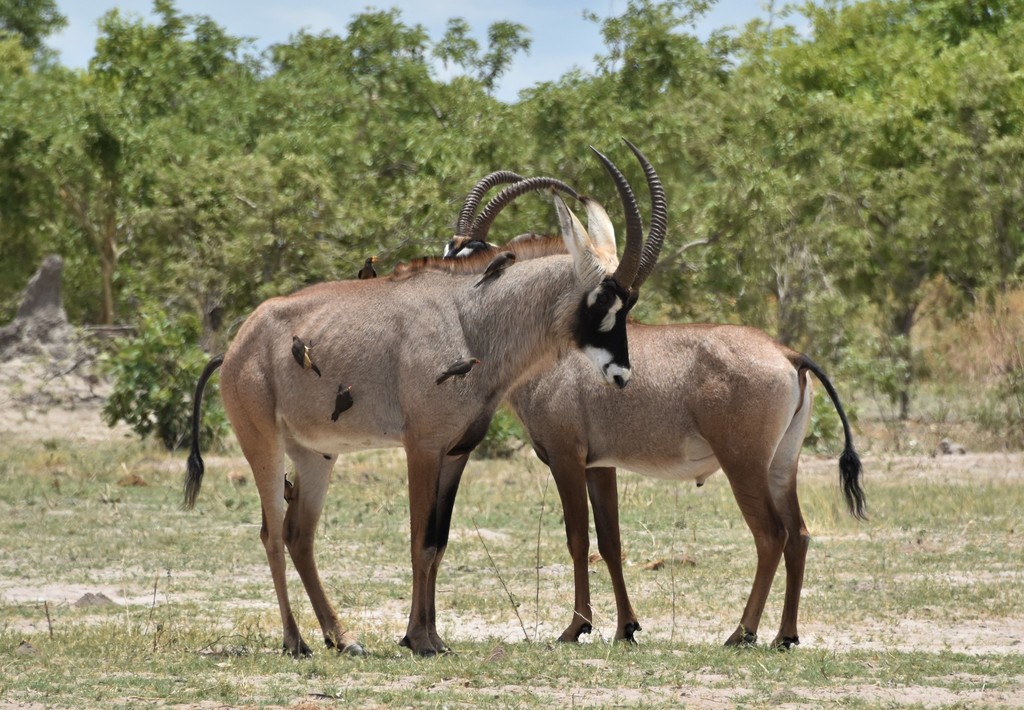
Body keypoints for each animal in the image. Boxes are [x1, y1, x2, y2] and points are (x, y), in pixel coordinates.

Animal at [183, 142, 668, 657]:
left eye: (630, 303)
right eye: (602, 298)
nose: (621, 373)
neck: (472, 319)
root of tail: (237, 345)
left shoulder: (454, 453)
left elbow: (438, 541)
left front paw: (430, 635)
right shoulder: (421, 448)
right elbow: (418, 540)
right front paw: (418, 638)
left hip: (315, 456)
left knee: (299, 535)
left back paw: (343, 637)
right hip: (263, 446)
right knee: (273, 534)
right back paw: (295, 641)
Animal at [448, 169, 866, 650]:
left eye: (483, 258)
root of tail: (787, 354)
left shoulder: (566, 458)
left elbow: (577, 538)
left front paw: (575, 628)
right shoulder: (599, 465)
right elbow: (609, 542)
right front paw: (625, 627)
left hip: (744, 463)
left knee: (771, 534)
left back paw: (741, 633)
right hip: (783, 463)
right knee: (798, 535)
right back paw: (785, 635)